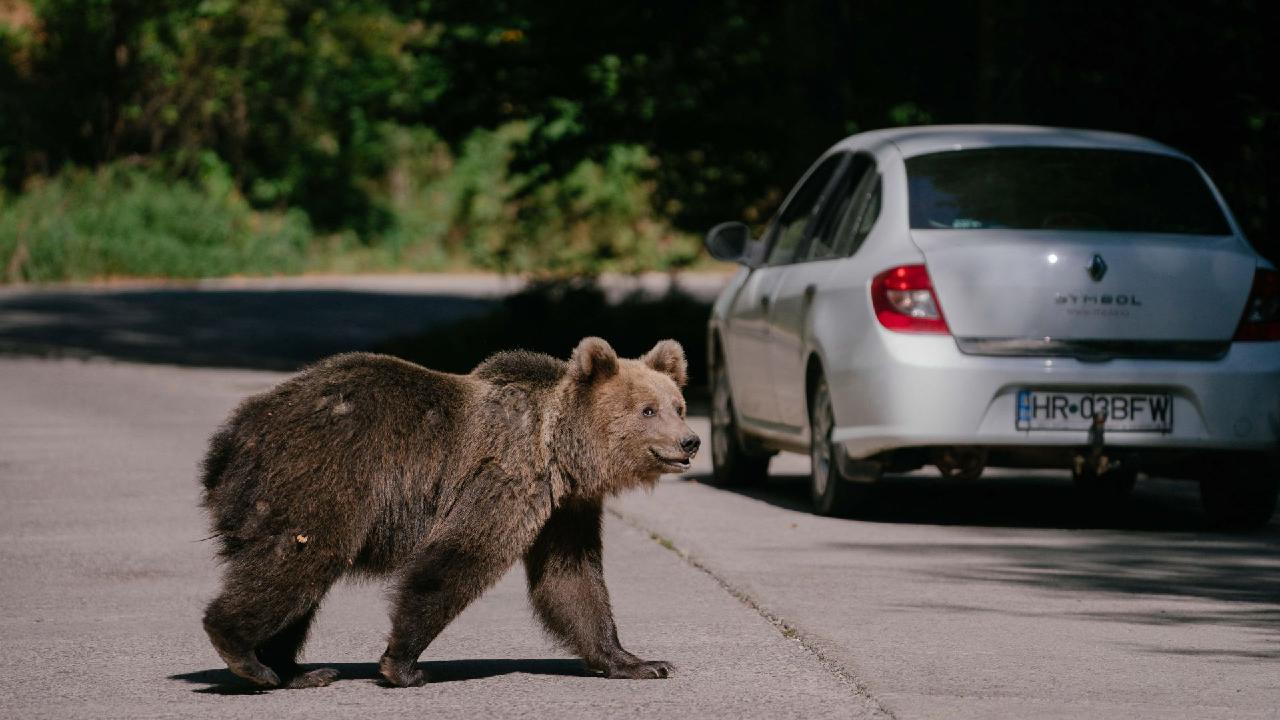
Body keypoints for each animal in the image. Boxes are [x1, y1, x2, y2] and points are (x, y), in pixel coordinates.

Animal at [199, 337, 699, 688]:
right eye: (647, 410)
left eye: (678, 405)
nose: (690, 441)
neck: (558, 452)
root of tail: (235, 435)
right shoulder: (506, 477)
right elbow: (460, 557)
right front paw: (403, 665)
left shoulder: (563, 509)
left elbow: (571, 578)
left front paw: (639, 662)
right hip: (323, 474)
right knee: (299, 560)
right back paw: (245, 653)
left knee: (301, 577)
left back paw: (296, 670)